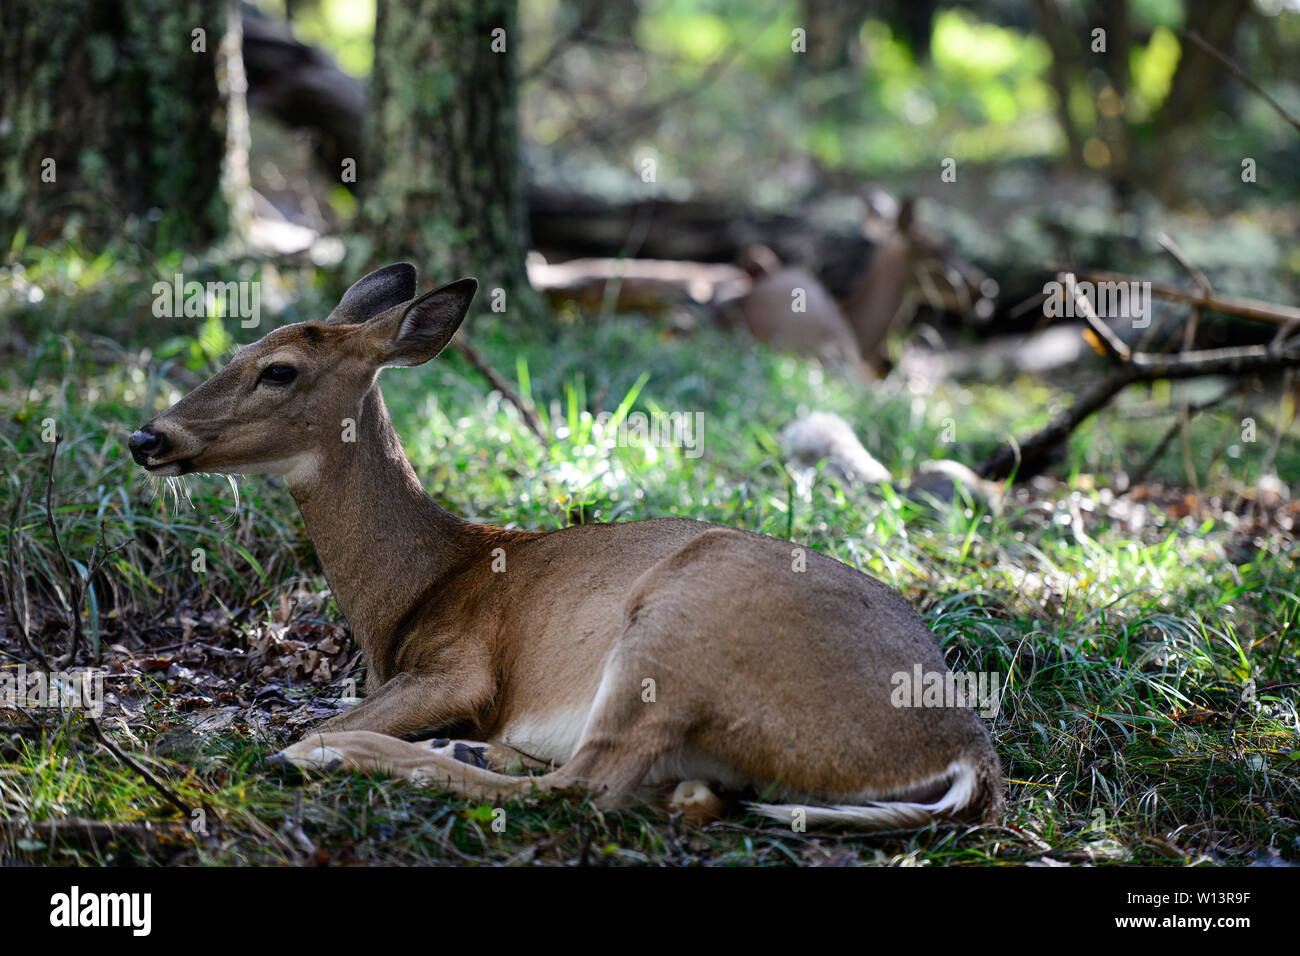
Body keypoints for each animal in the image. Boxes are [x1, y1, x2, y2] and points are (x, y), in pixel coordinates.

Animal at [128, 263, 1002, 828]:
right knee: (670, 791)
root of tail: (970, 752)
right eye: (236, 351)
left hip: (684, 623)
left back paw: (351, 758)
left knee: (587, 787)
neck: (416, 585)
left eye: (278, 370)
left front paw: (320, 745)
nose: (147, 436)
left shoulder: (464, 663)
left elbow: (316, 720)